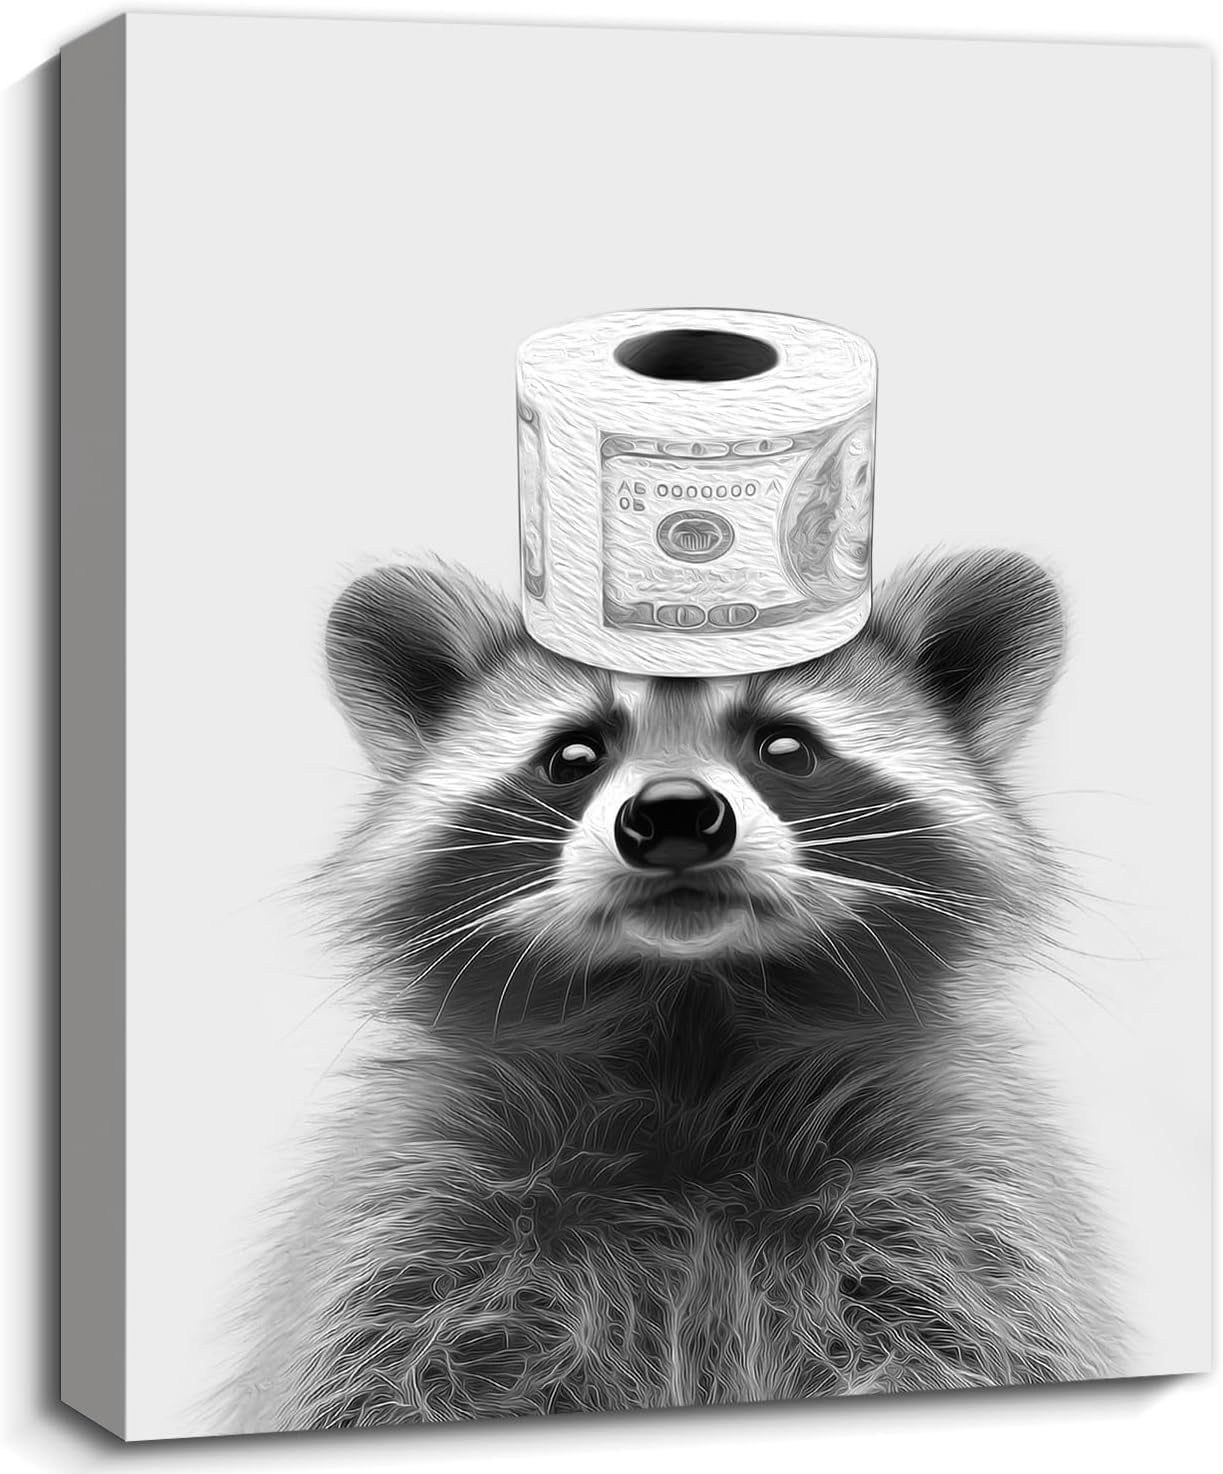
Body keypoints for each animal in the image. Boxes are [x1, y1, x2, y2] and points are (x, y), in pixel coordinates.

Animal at [222, 549, 1125, 1432]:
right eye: (574, 755)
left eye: (784, 747)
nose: (675, 812)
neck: (687, 1028)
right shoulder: (416, 1207)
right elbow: (373, 1379)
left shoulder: (952, 1198)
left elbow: (969, 1341)